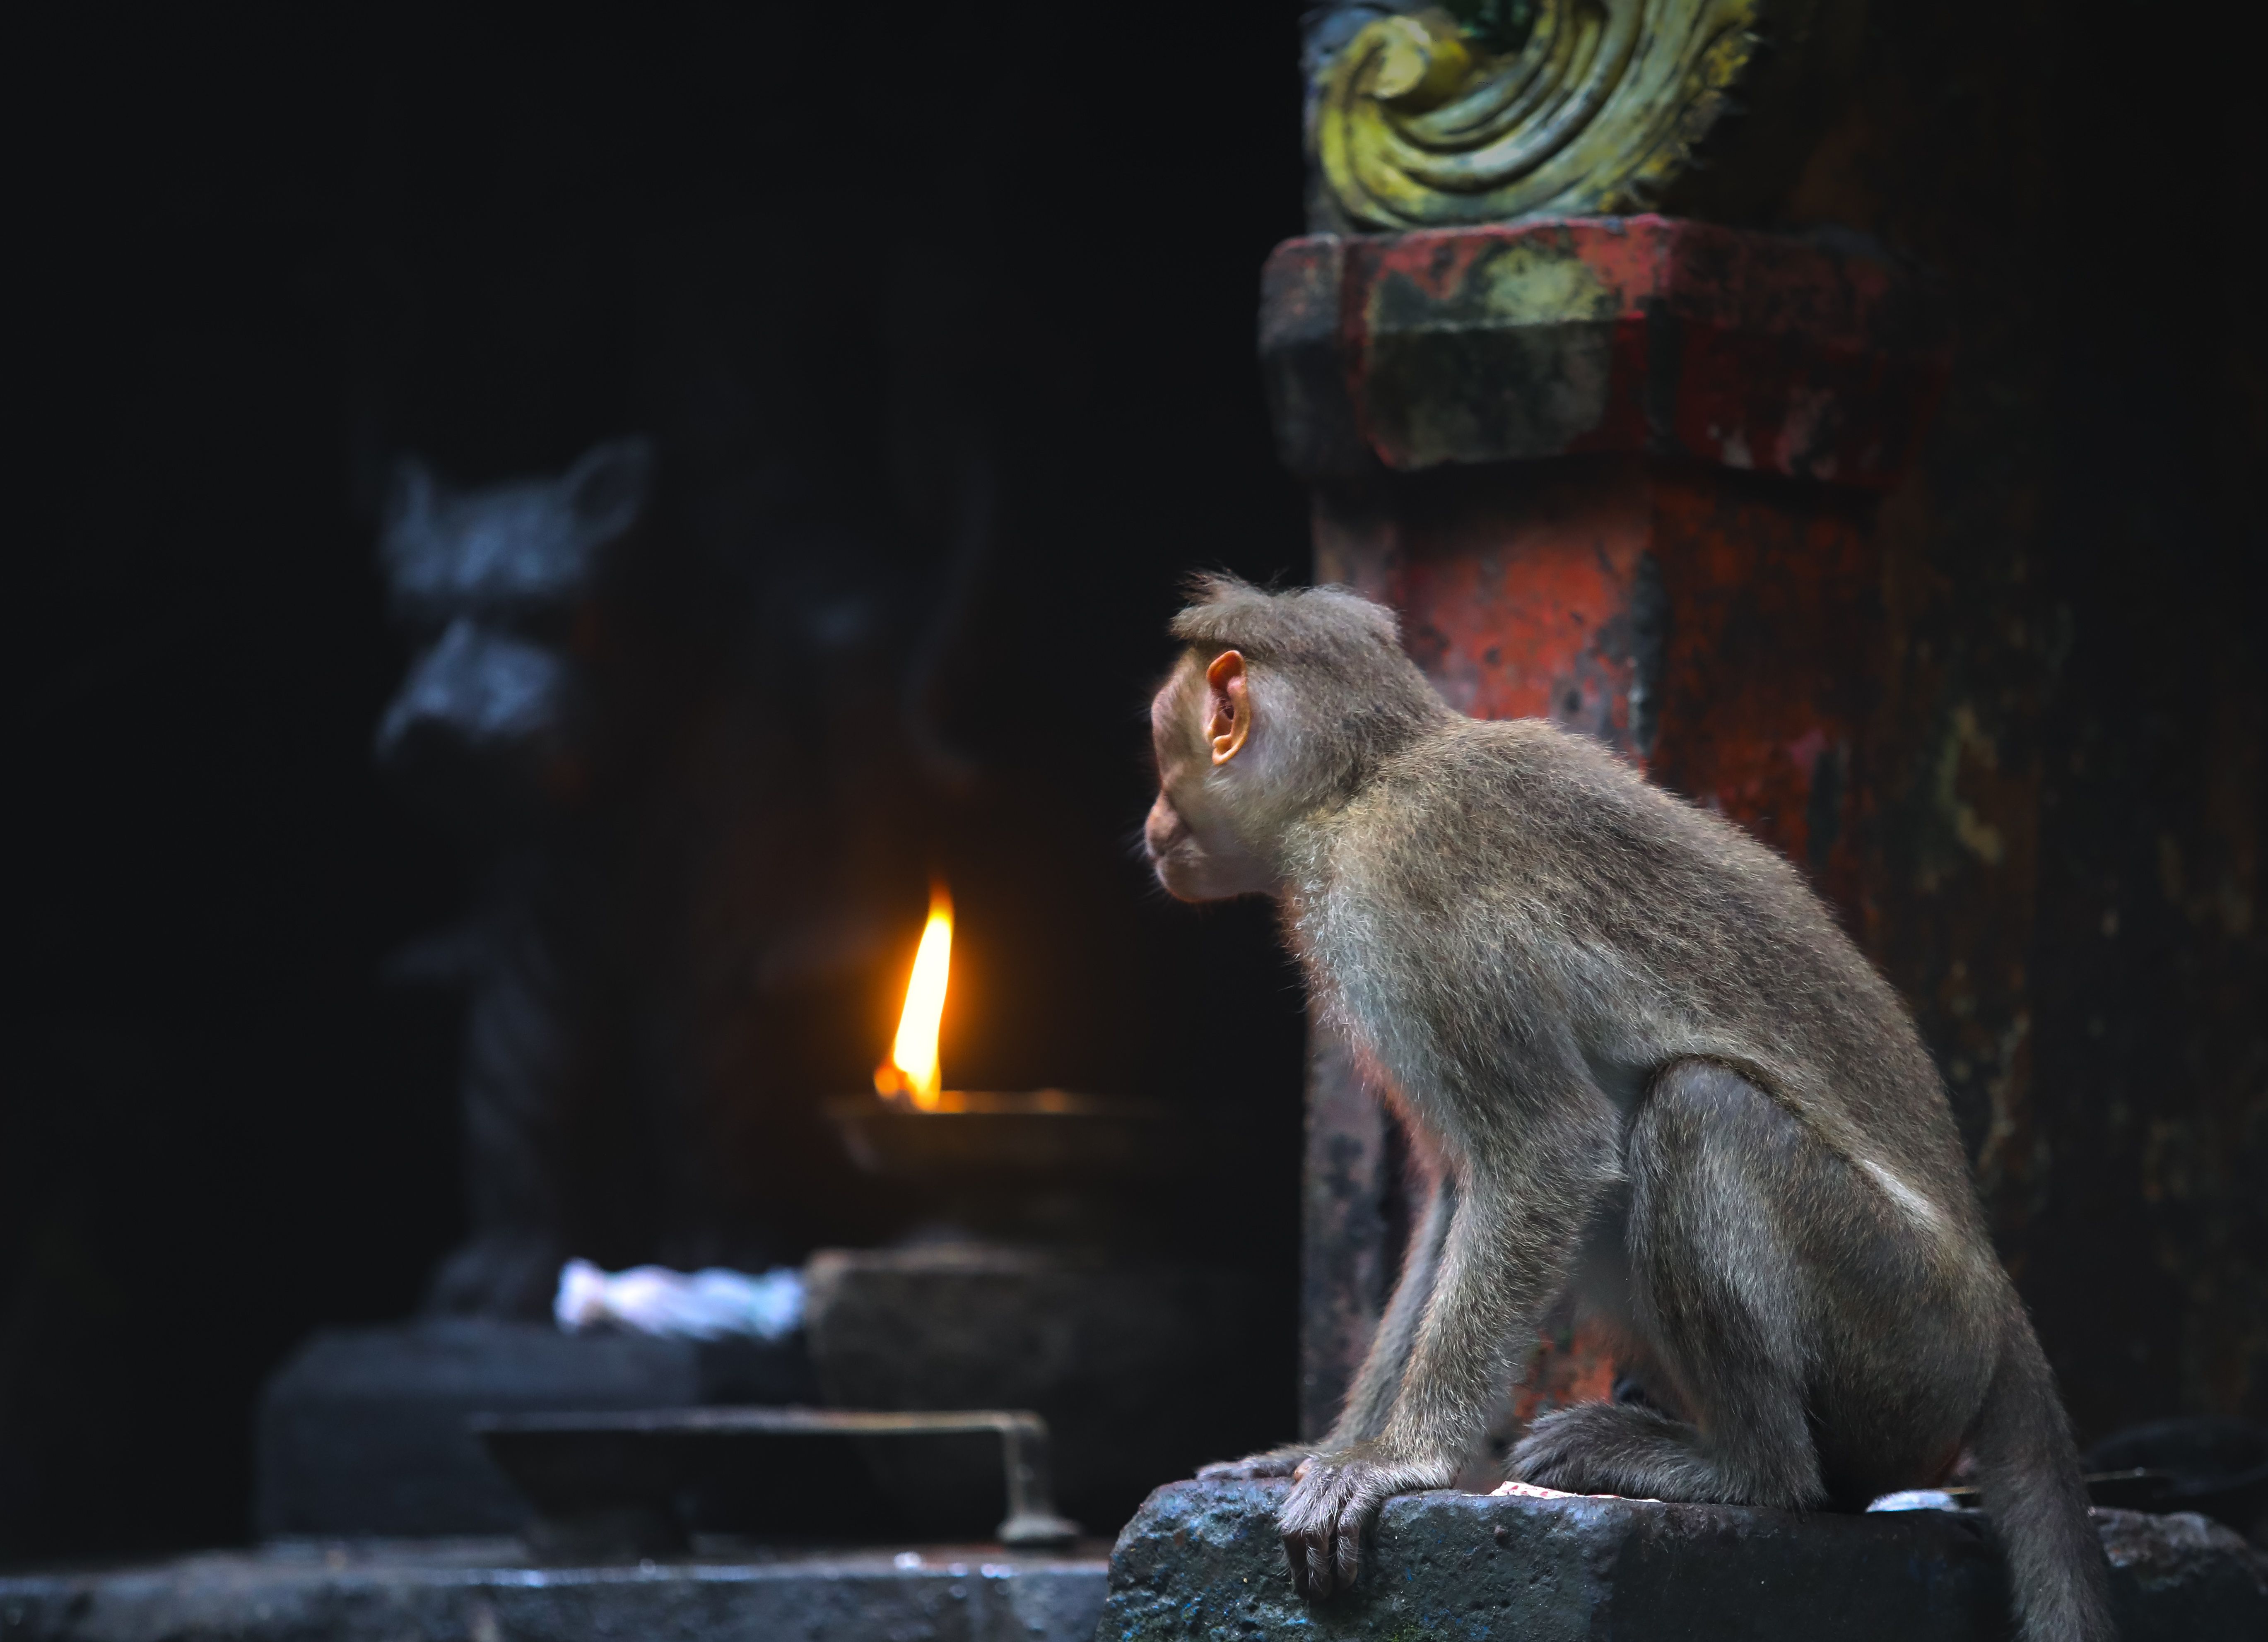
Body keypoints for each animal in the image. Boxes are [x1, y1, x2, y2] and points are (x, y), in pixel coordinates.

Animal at [1143, 576, 2112, 1642]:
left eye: (1165, 754)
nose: (1149, 827)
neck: (1365, 781)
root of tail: (1995, 1303)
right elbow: (1463, 1194)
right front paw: (1328, 1443)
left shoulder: (1405, 895)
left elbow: (1544, 1151)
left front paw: (1397, 1460)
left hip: (1906, 1339)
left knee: (1699, 1108)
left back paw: (1743, 1471)